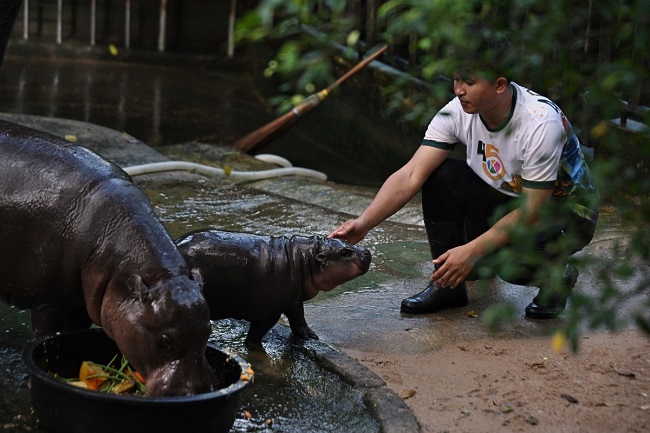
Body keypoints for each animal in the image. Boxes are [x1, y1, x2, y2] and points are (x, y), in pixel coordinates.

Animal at [0, 119, 215, 396]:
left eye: (208, 330)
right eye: (164, 341)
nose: (196, 391)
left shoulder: (78, 300)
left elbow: (73, 332)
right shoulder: (47, 300)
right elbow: (45, 336)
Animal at [174, 229, 372, 346]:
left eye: (347, 241)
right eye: (345, 252)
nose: (367, 252)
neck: (304, 259)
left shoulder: (293, 299)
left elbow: (298, 317)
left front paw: (309, 336)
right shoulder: (270, 312)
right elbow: (257, 333)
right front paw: (254, 348)